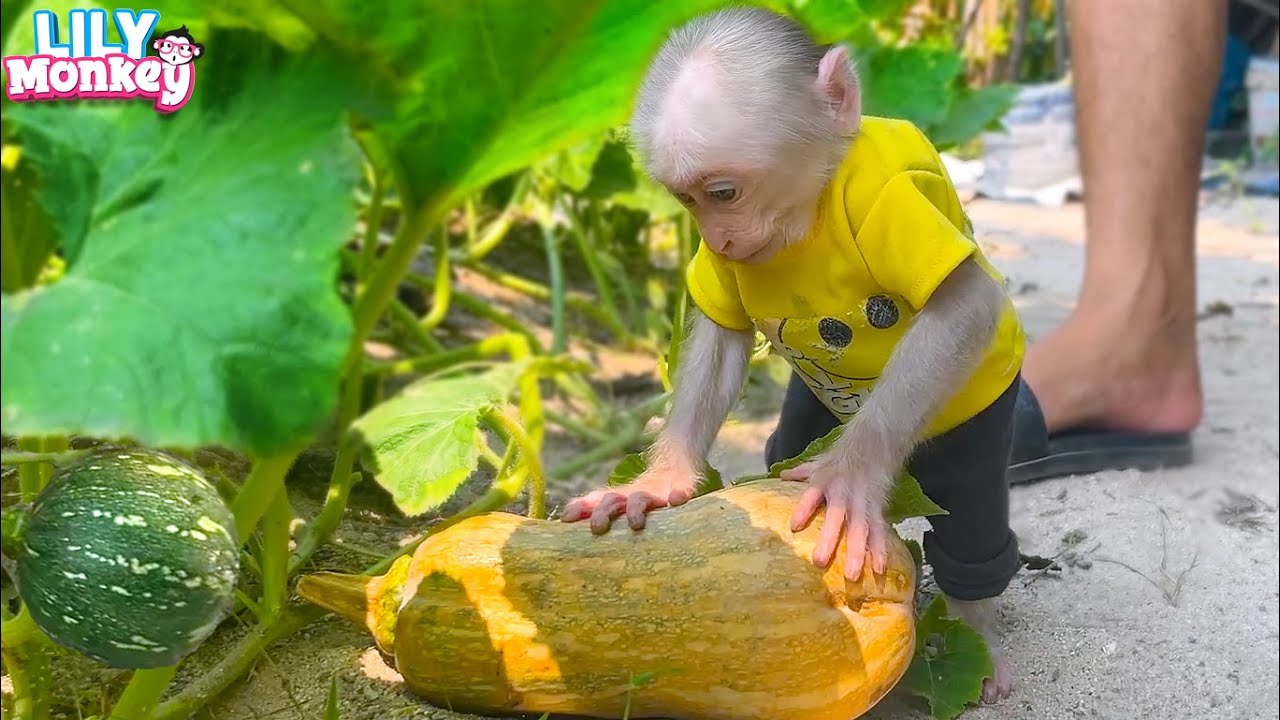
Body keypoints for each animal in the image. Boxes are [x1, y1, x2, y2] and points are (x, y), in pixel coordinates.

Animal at [560, 6, 1024, 702]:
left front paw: (847, 478)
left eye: (723, 192)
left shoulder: (892, 191)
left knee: (972, 528)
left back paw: (982, 646)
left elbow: (961, 303)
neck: (809, 218)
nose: (719, 238)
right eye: (685, 201)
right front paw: (659, 483)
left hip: (977, 430)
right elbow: (720, 341)